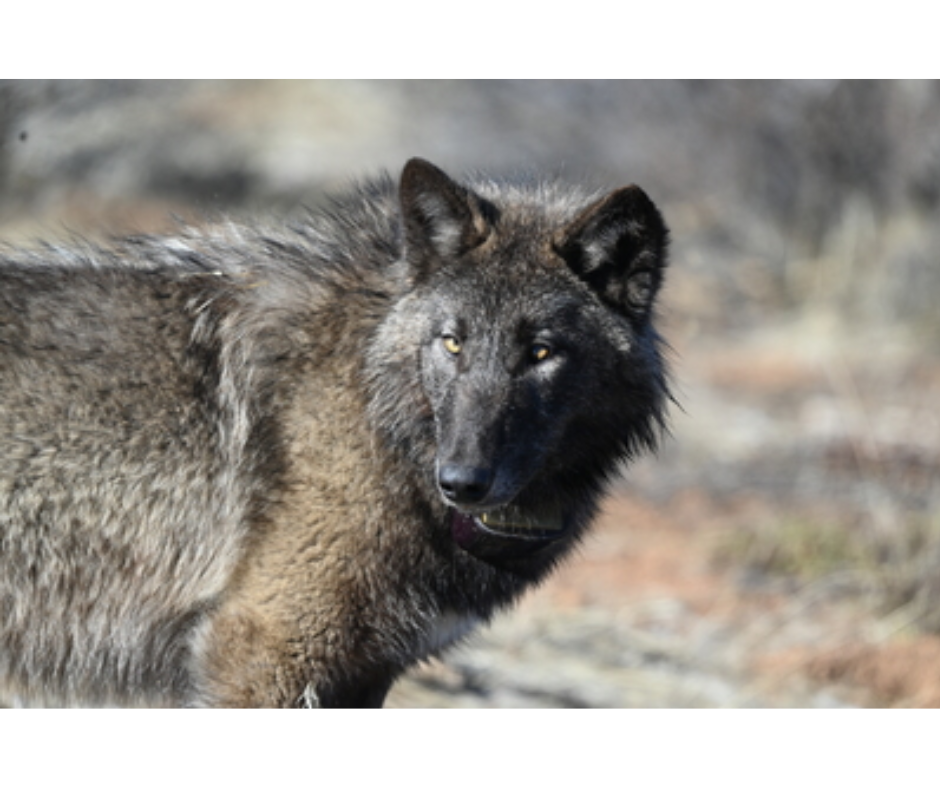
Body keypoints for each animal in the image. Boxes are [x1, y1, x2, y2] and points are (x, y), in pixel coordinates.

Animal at [0, 158, 670, 707]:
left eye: (540, 352)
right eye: (452, 341)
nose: (461, 482)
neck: (375, 409)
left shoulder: (362, 672)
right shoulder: (265, 654)